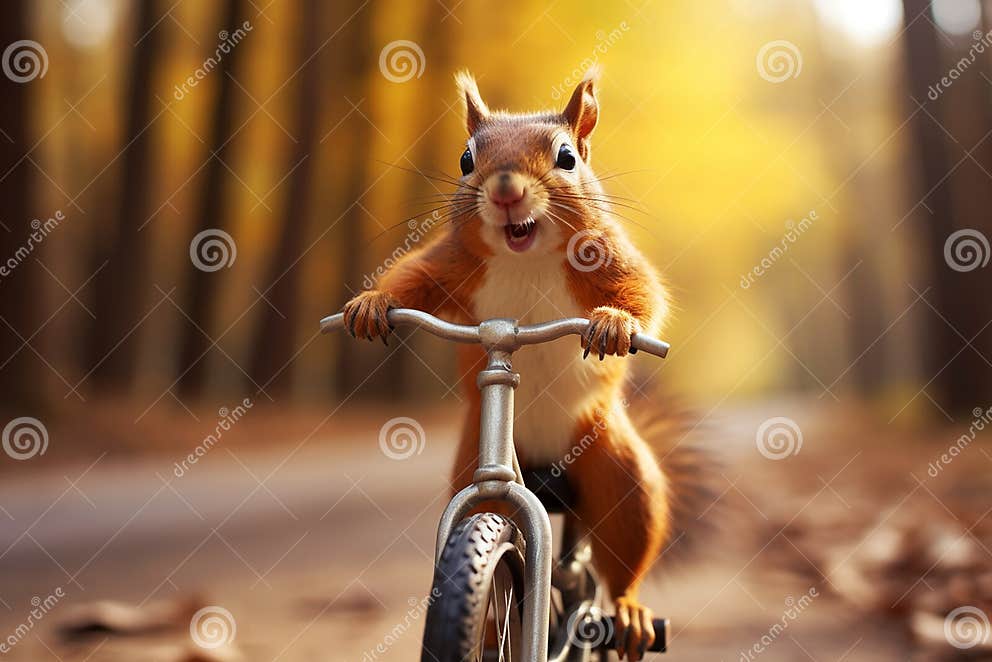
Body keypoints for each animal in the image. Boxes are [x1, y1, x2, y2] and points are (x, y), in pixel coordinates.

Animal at [343, 69, 687, 660]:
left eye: (567, 157)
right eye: (465, 159)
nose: (505, 189)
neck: (525, 256)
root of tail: (549, 468)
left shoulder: (611, 253)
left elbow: (643, 291)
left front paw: (615, 323)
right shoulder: (449, 261)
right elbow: (409, 277)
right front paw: (371, 303)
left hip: (616, 468)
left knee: (625, 549)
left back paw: (629, 612)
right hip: (467, 468)